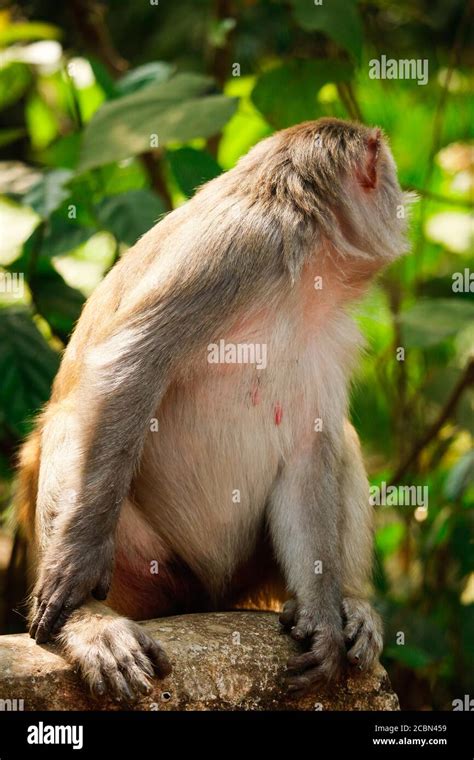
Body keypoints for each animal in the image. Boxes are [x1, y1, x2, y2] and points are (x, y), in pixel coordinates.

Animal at [15, 118, 411, 701]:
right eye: (387, 174)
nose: (403, 200)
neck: (302, 269)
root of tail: (209, 597)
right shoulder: (241, 247)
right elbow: (129, 367)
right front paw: (76, 568)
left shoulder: (331, 329)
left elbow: (310, 443)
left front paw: (322, 620)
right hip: (149, 572)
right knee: (70, 422)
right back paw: (90, 622)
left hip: (247, 576)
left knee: (343, 439)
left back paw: (352, 605)